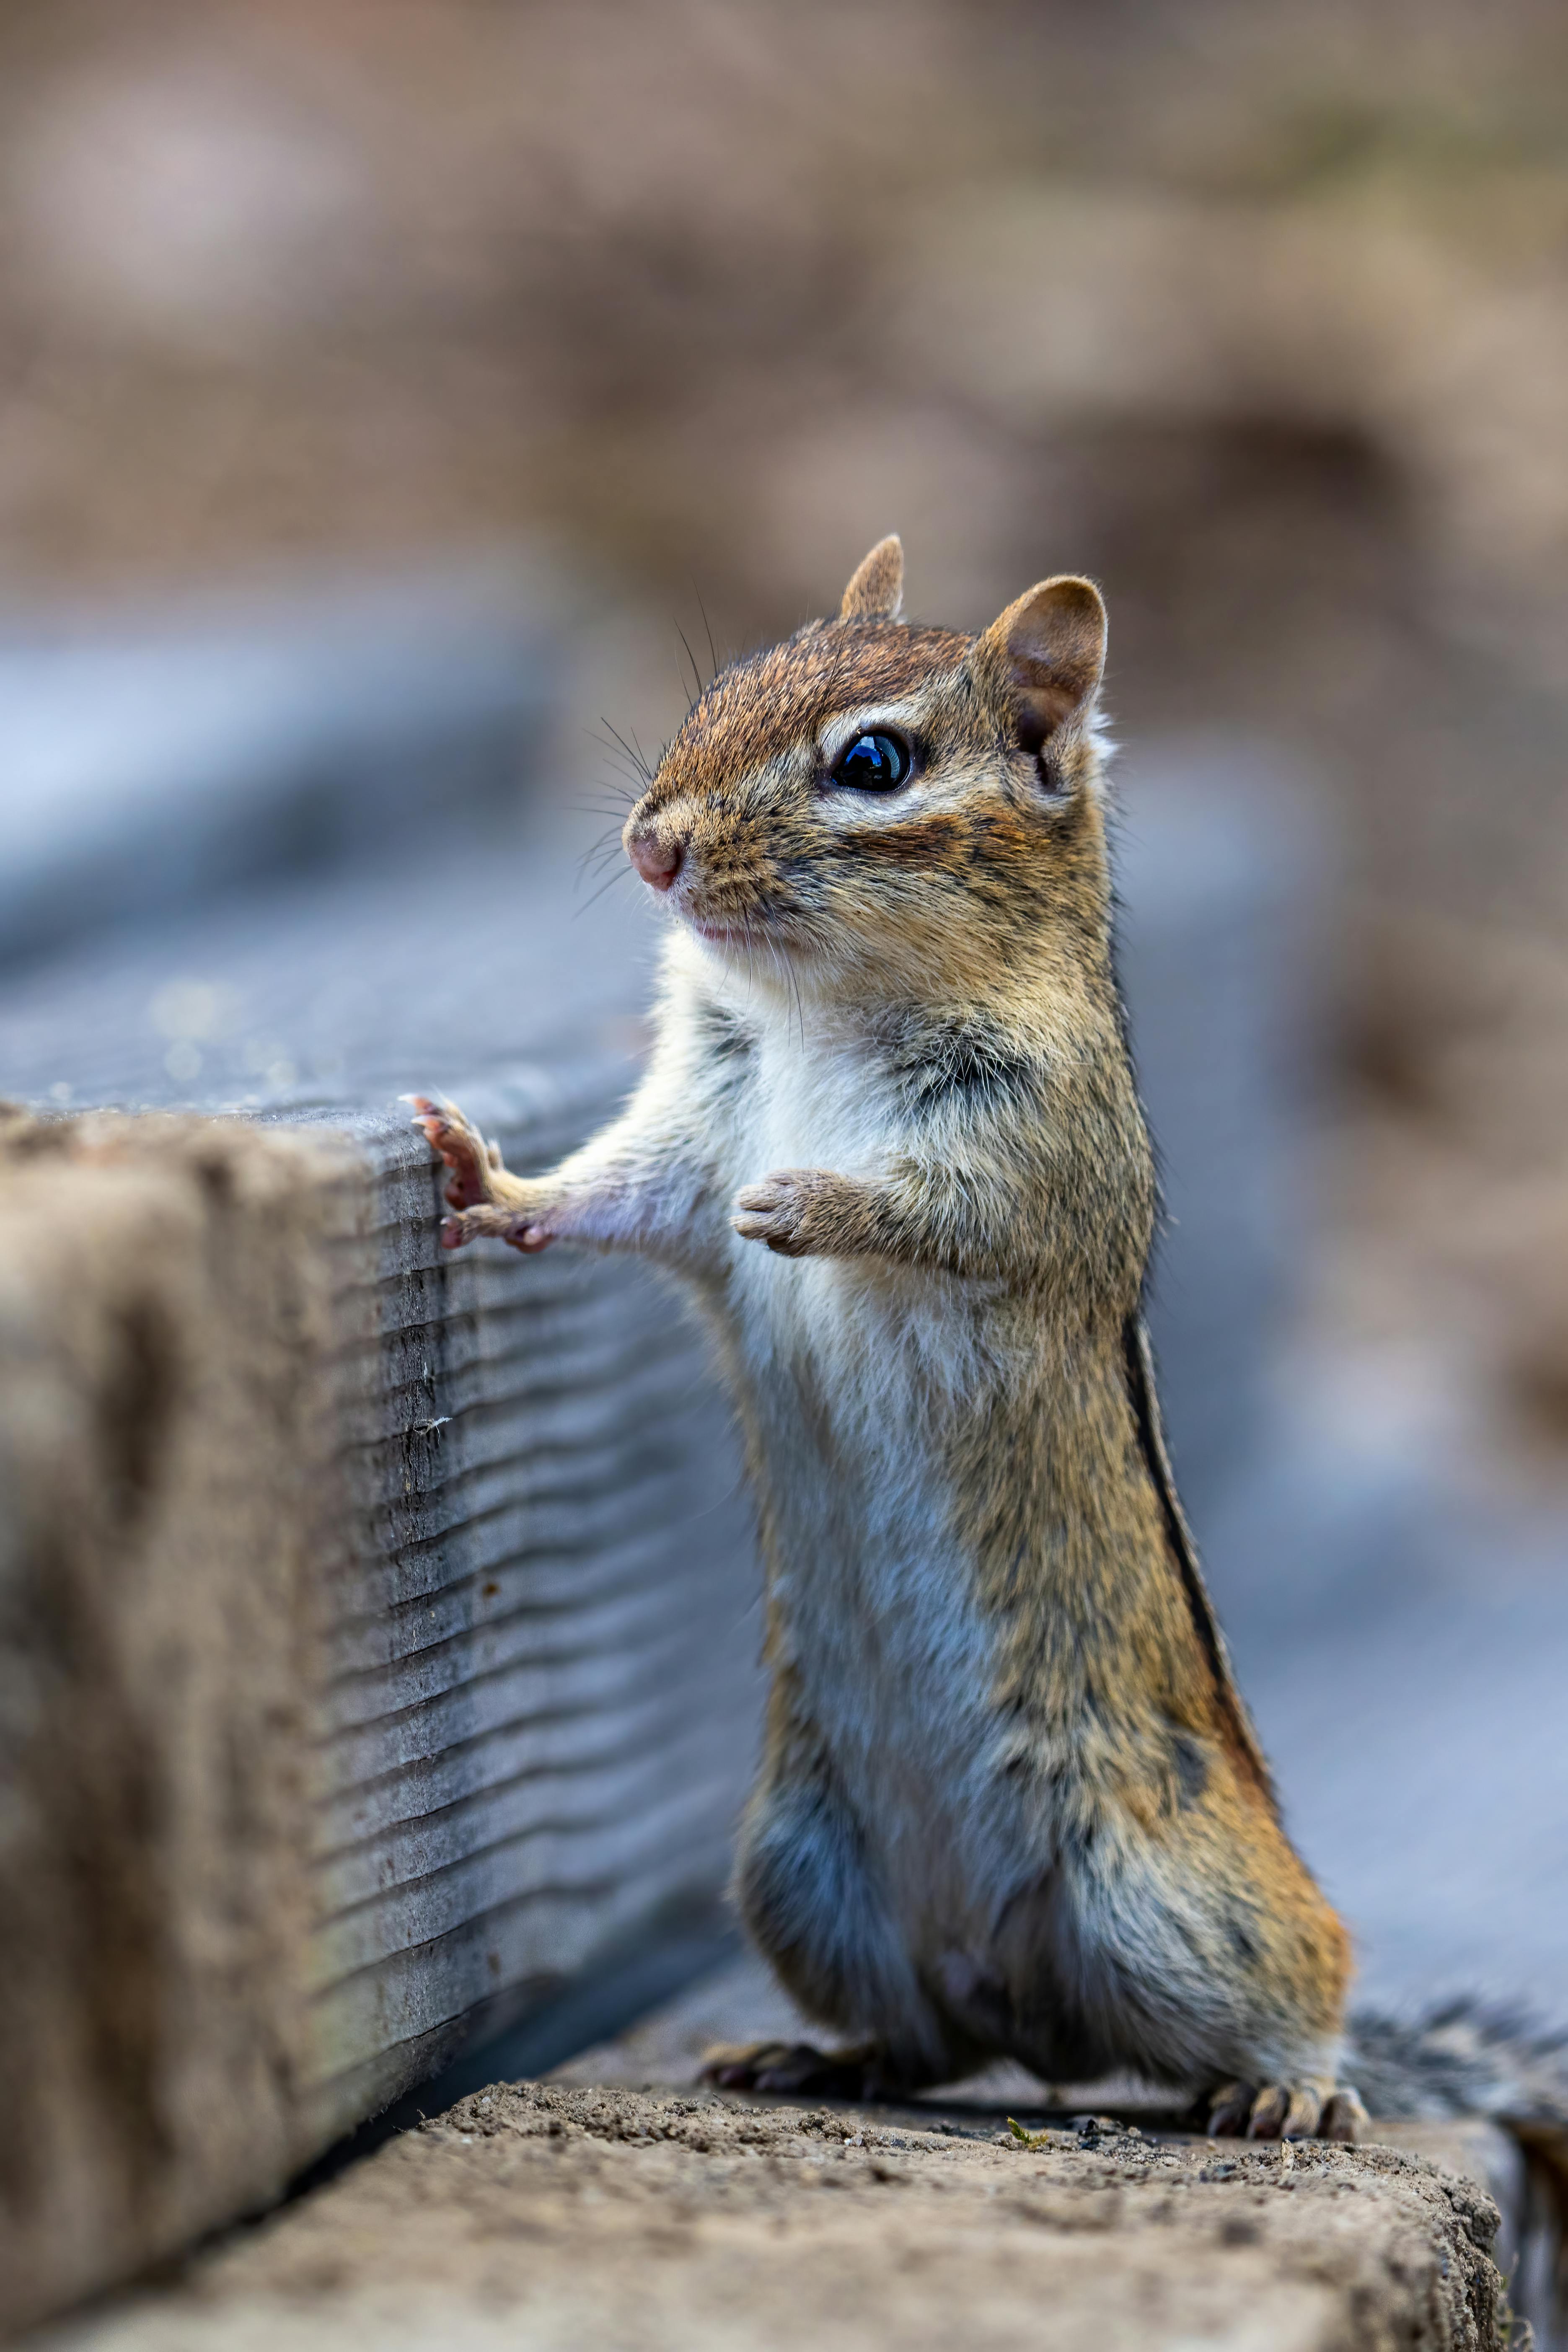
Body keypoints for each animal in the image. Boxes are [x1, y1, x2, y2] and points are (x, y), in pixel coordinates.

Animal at [411, 537, 1568, 2172]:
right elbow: (608, 1194)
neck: (815, 1014)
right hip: (802, 1871)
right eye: (724, 685)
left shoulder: (1041, 1155)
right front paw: (485, 1180)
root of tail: (1034, 2006)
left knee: (1308, 1984)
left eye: (873, 762)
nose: (652, 847)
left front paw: (813, 1203)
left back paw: (1291, 2085)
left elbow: (943, 1213)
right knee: (925, 2041)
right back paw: (819, 2054)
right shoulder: (686, 1136)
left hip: (1175, 1902)